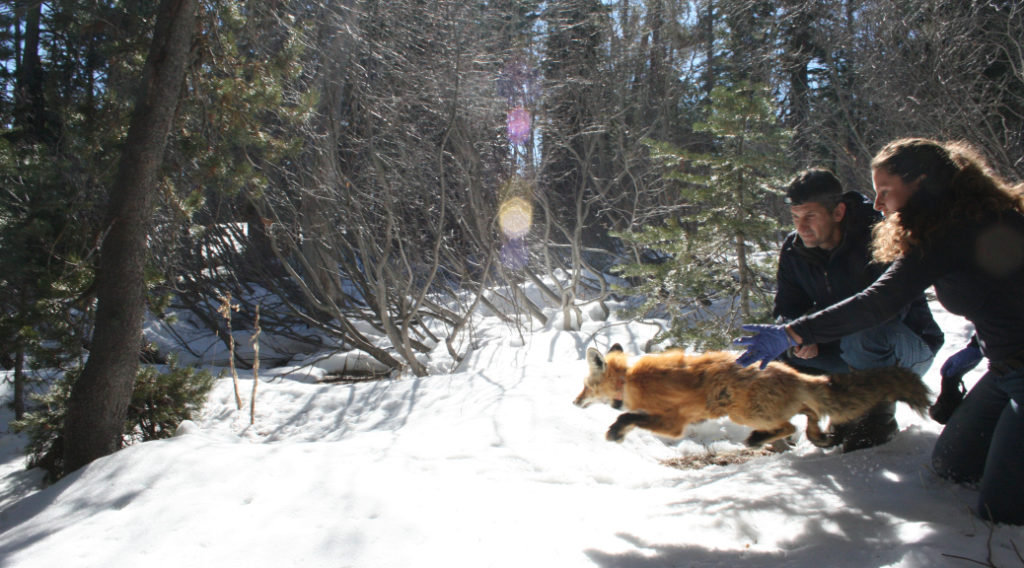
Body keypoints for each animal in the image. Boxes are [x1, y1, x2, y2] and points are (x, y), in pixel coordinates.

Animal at [574, 343, 932, 448]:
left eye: (586, 386)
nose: (574, 403)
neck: (630, 381)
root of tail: (791, 371)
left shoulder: (673, 423)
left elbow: (627, 415)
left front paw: (616, 432)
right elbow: (630, 415)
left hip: (746, 413)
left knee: (793, 423)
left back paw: (760, 439)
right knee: (808, 412)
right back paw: (814, 435)